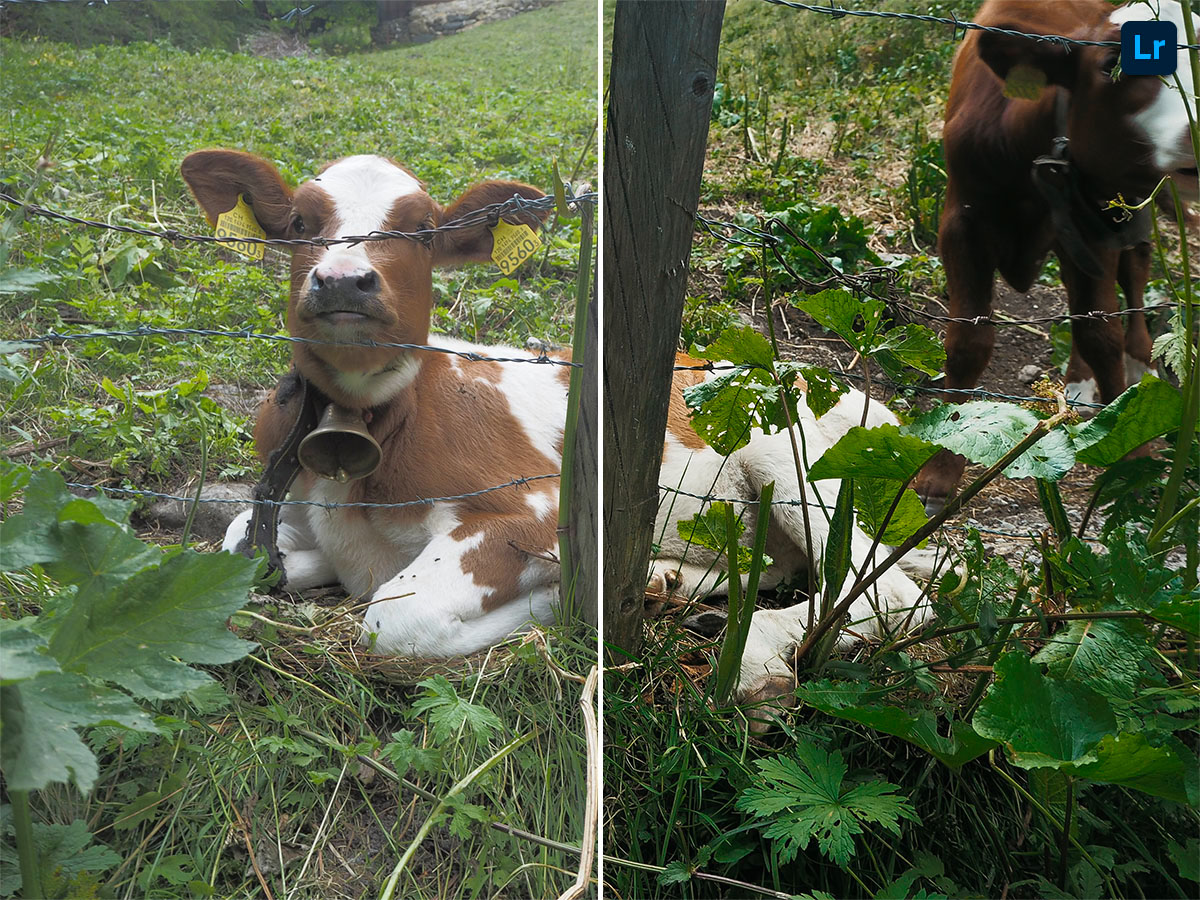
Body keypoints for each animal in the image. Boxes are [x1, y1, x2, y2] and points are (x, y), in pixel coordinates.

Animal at [180, 150, 567, 657]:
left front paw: (556, 593)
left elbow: (397, 616)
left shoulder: (538, 507)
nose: (343, 280)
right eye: (299, 222)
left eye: (424, 229)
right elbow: (240, 547)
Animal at [915, 0, 1199, 512]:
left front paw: (1131, 457)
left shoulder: (1099, 221)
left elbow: (1100, 334)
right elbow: (967, 343)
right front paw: (940, 473)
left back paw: (1139, 363)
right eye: (1113, 63)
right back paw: (1079, 383)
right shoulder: (961, 223)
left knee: (1133, 279)